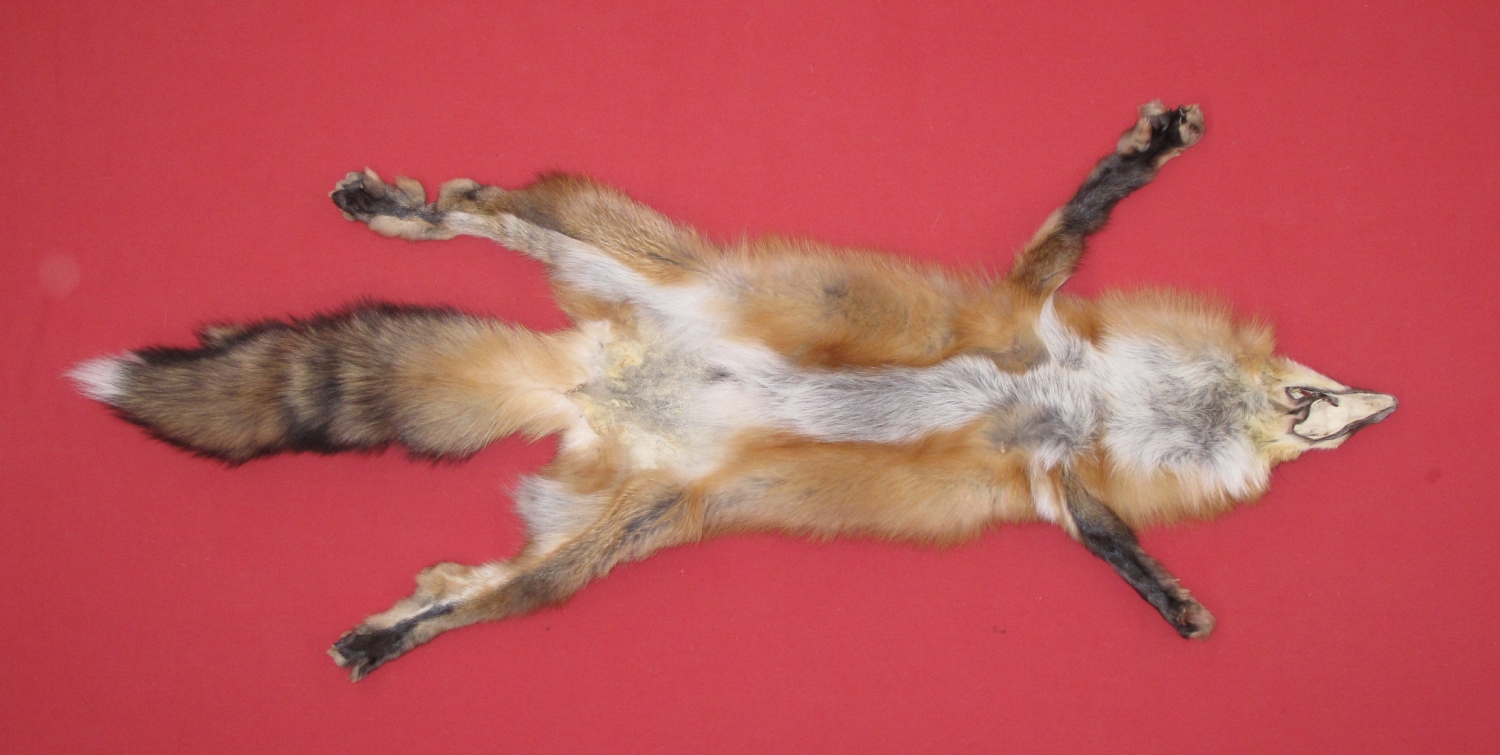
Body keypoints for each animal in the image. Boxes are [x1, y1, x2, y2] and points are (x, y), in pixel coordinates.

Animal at [70, 102, 1396, 681]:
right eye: (1310, 400)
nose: (1364, 405)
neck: (1097, 401)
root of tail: (590, 387)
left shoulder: (1054, 478)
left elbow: (1109, 541)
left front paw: (1166, 596)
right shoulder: (1034, 303)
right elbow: (1086, 211)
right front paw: (1145, 153)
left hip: (606, 543)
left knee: (482, 590)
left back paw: (391, 630)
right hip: (603, 256)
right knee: (479, 210)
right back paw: (396, 211)